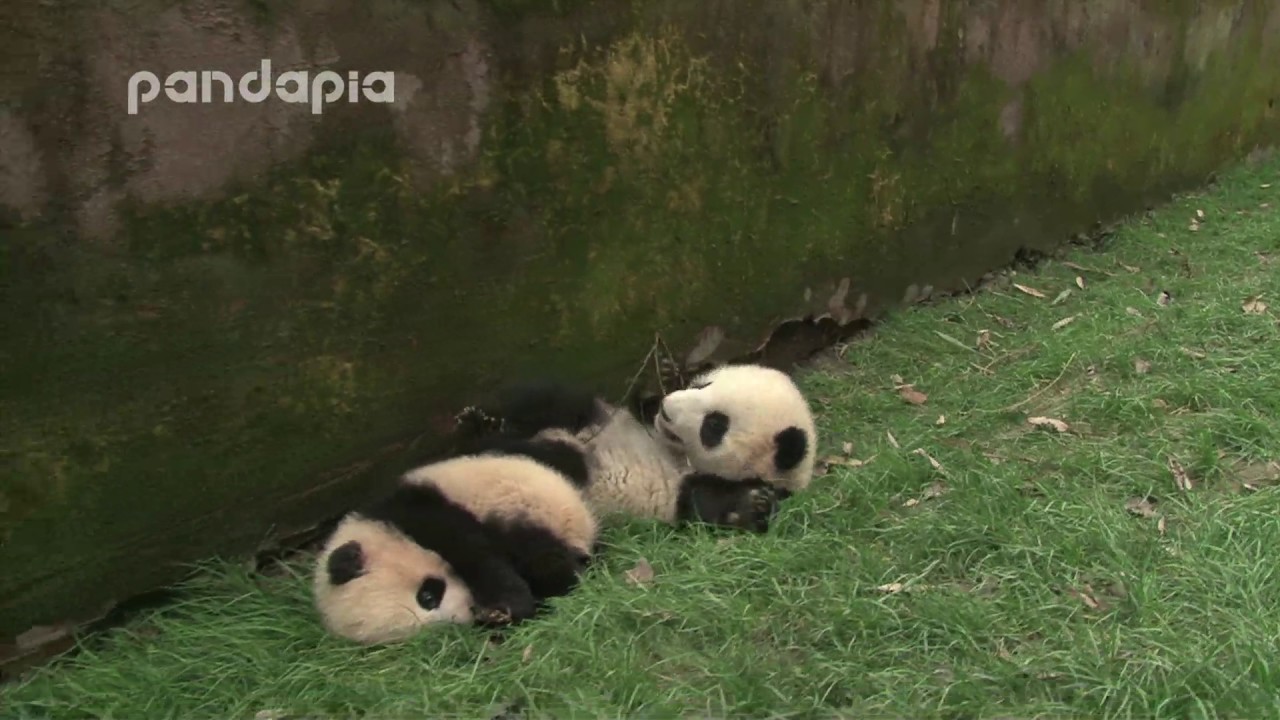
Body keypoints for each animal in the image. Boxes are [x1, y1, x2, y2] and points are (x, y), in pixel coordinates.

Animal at [312, 450, 597, 645]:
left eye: (427, 596)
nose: (468, 614)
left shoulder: (427, 514)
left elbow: (476, 555)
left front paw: (508, 608)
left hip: (529, 507)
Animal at [456, 362, 817, 534]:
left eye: (715, 425)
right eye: (703, 385)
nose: (668, 409)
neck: (673, 455)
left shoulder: (691, 489)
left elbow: (709, 506)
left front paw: (755, 505)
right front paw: (664, 376)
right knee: (556, 403)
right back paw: (478, 423)